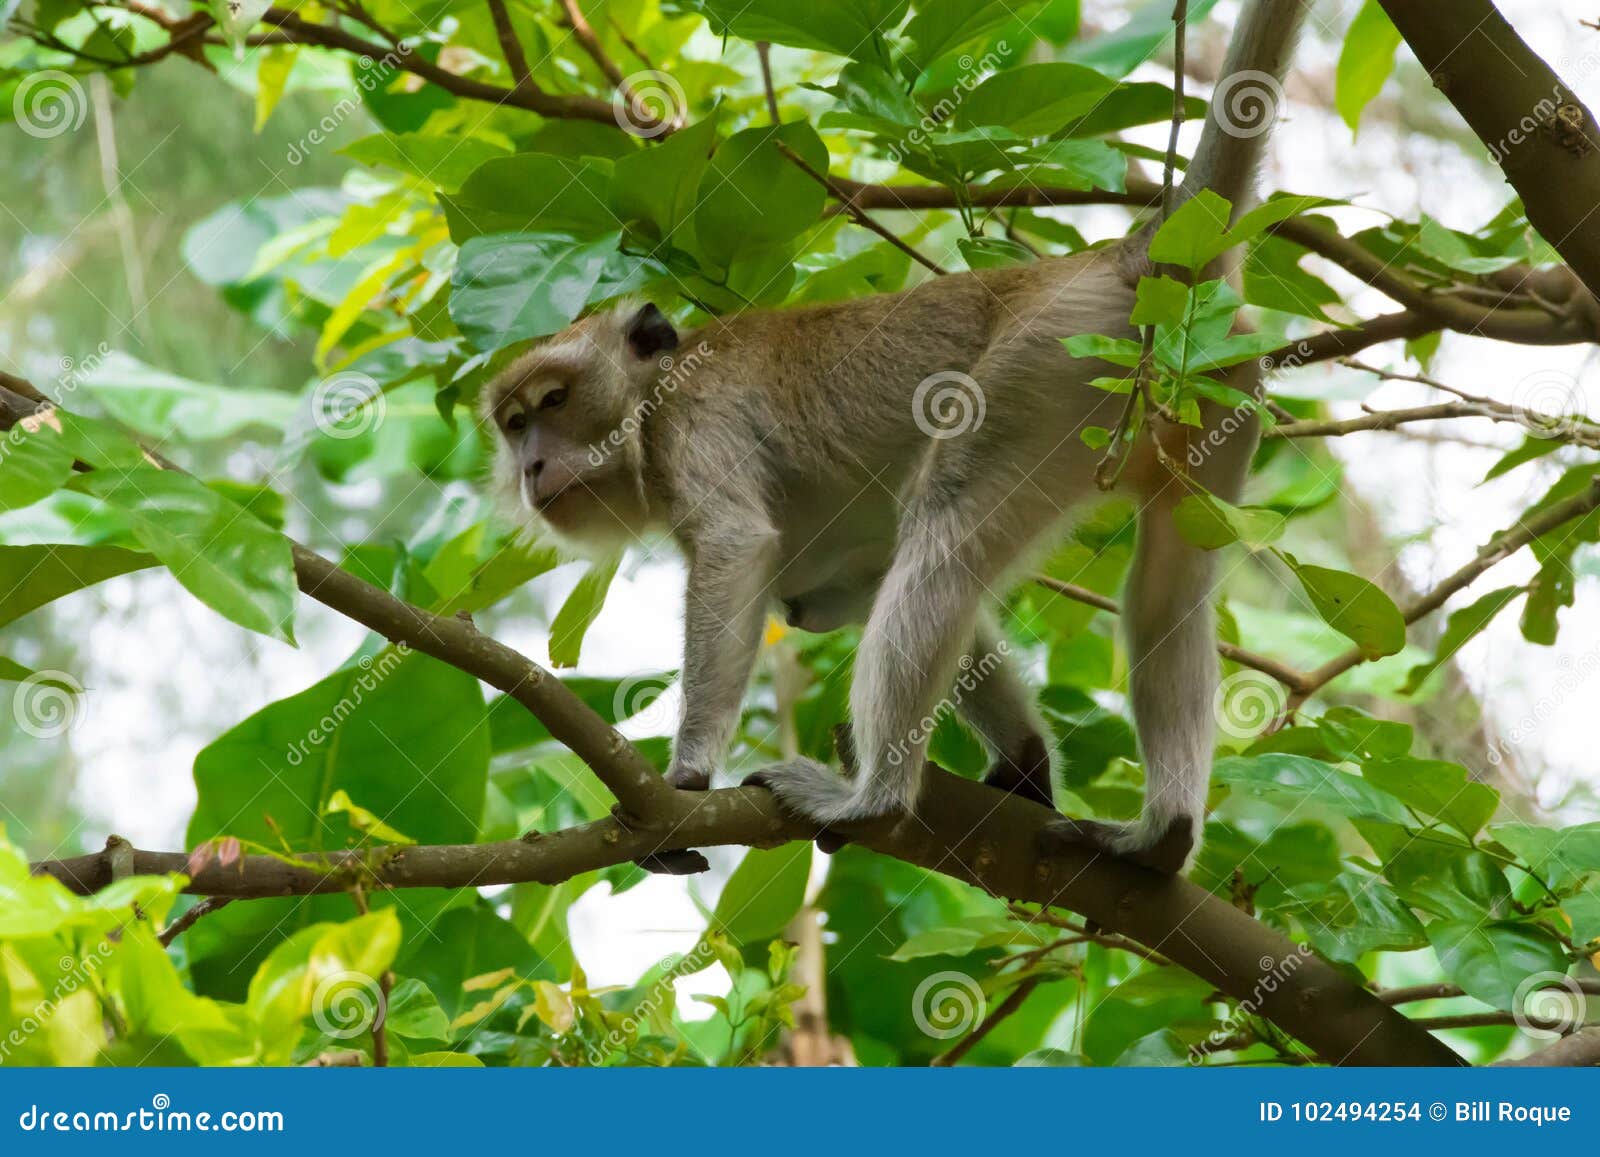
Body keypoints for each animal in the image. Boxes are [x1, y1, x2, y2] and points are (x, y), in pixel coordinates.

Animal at [481, 0, 1311, 875]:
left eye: (554, 400)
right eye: (513, 425)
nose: (533, 465)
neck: (651, 405)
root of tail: (1129, 257)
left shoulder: (694, 423)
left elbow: (742, 551)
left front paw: (687, 778)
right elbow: (836, 593)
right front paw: (1024, 761)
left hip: (1048, 354)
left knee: (943, 531)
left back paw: (874, 799)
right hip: (1214, 385)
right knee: (1168, 588)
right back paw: (1163, 835)